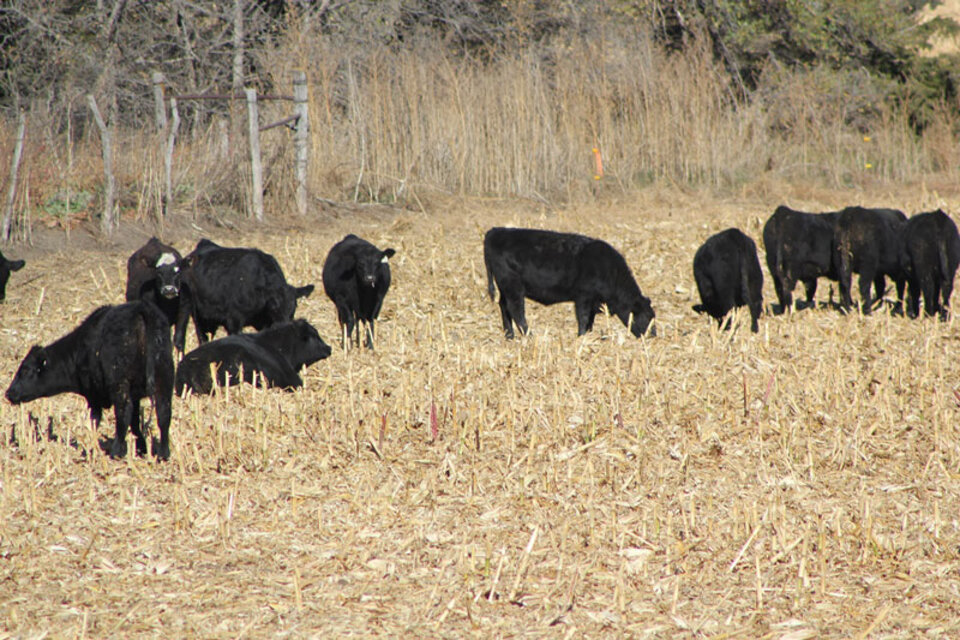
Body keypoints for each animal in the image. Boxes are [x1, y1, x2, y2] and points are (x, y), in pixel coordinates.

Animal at [5, 302, 174, 459]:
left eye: (25, 370)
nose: (9, 393)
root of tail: (141, 309)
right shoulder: (135, 395)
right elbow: (135, 422)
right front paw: (141, 448)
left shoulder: (94, 397)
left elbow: (94, 421)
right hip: (164, 377)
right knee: (164, 412)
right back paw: (163, 454)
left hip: (120, 383)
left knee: (123, 412)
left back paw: (116, 452)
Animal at [175, 239, 314, 349]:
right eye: (274, 307)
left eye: (294, 307)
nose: (285, 327)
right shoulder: (234, 321)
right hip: (187, 304)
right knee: (182, 338)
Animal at [483, 227, 656, 339]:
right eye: (646, 316)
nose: (653, 336)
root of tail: (496, 231)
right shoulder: (583, 297)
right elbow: (583, 318)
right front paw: (581, 337)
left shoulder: (593, 302)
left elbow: (590, 321)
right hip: (513, 286)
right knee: (516, 310)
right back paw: (529, 336)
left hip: (505, 288)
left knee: (504, 306)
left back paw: (509, 336)